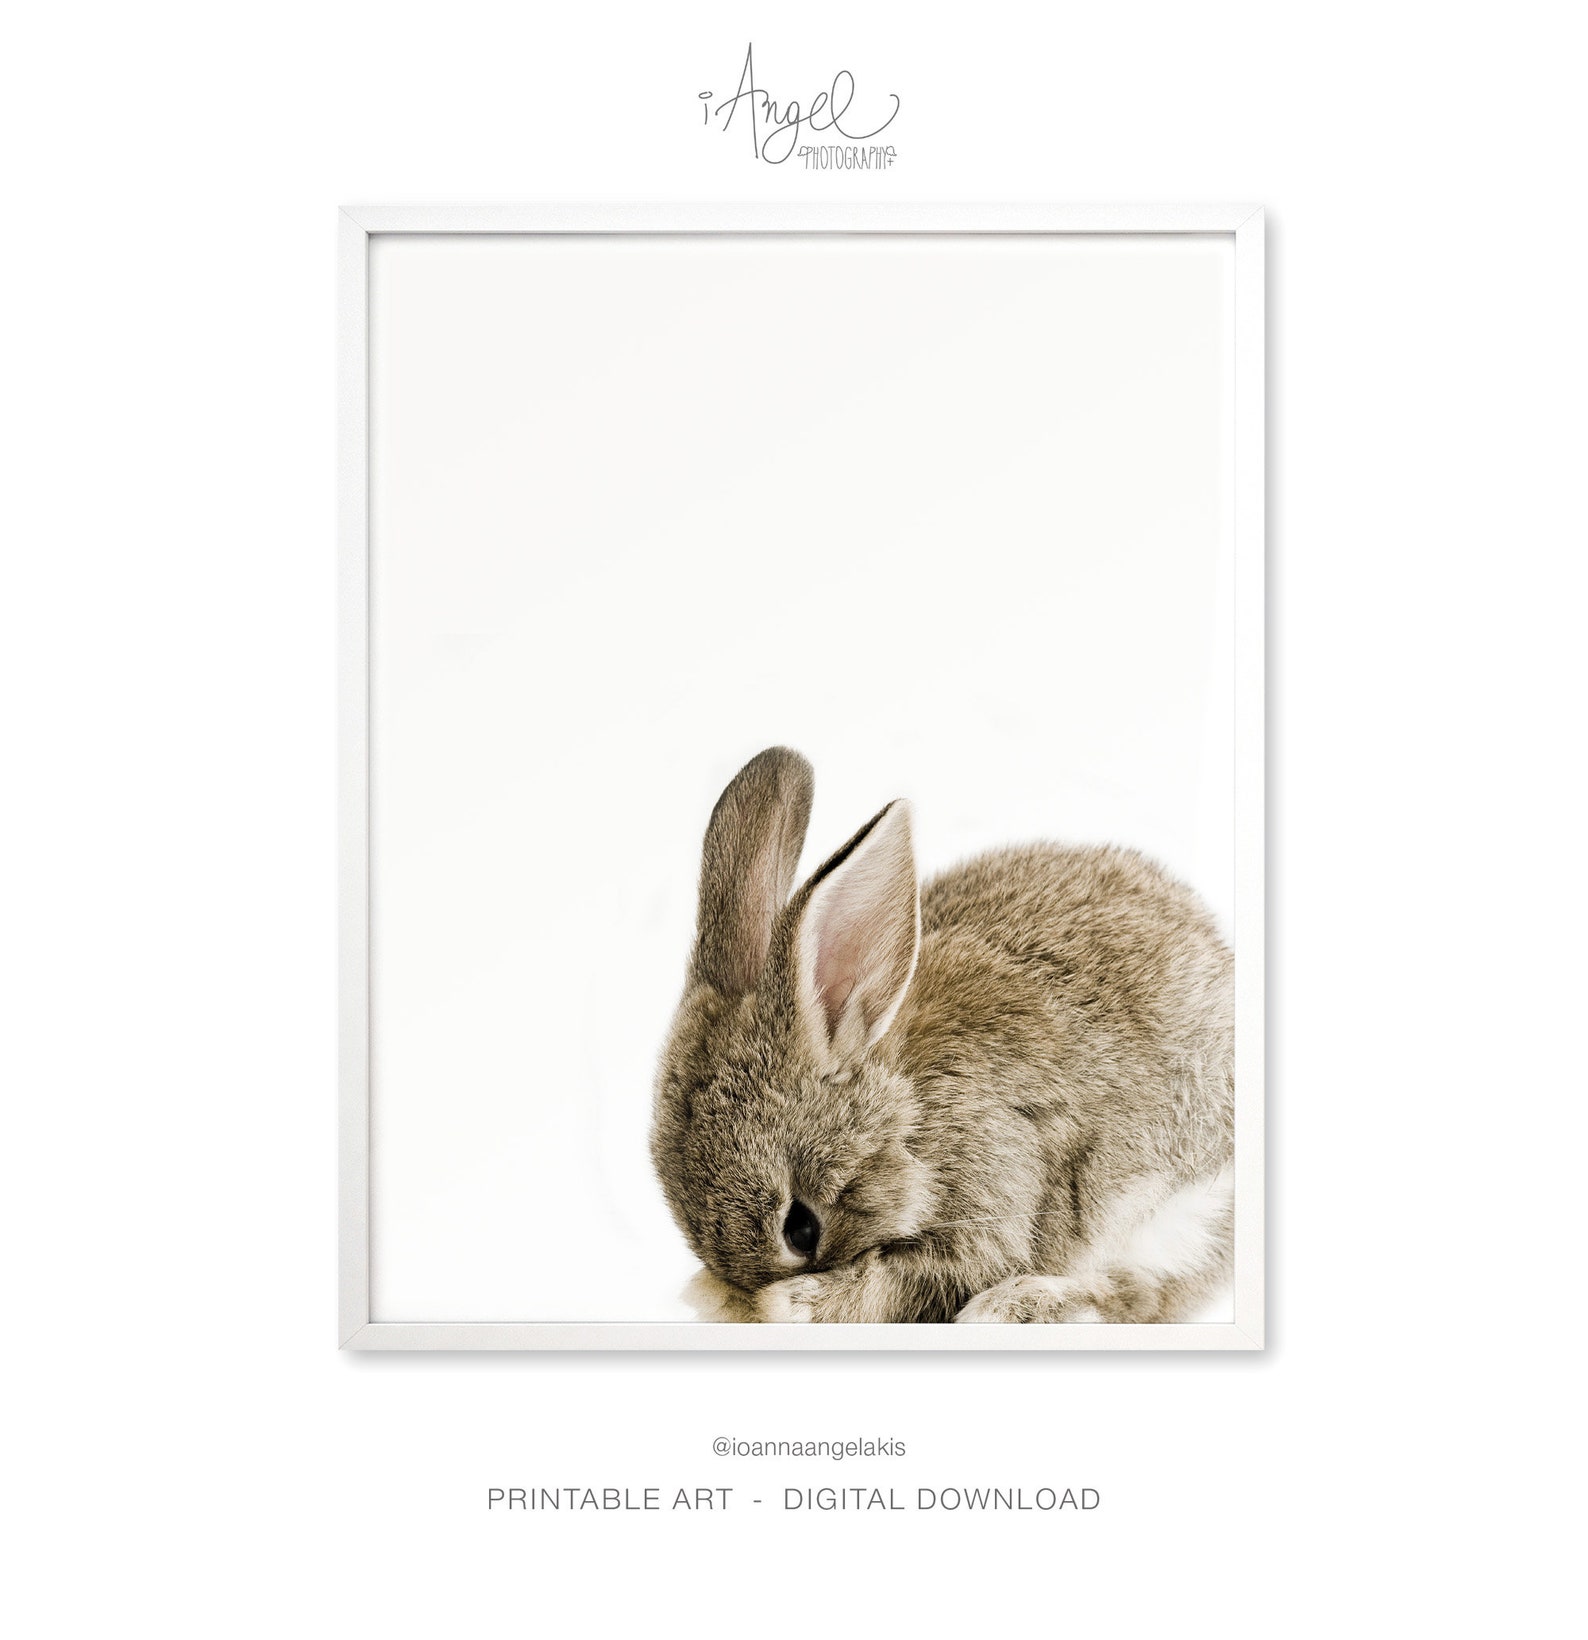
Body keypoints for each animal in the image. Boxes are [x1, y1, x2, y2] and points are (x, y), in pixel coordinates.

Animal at [650, 747, 1235, 1324]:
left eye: (801, 1229)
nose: (740, 1292)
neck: (911, 1109)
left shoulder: (992, 1194)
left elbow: (905, 1284)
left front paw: (782, 1304)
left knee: (1143, 1289)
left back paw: (1022, 1305)